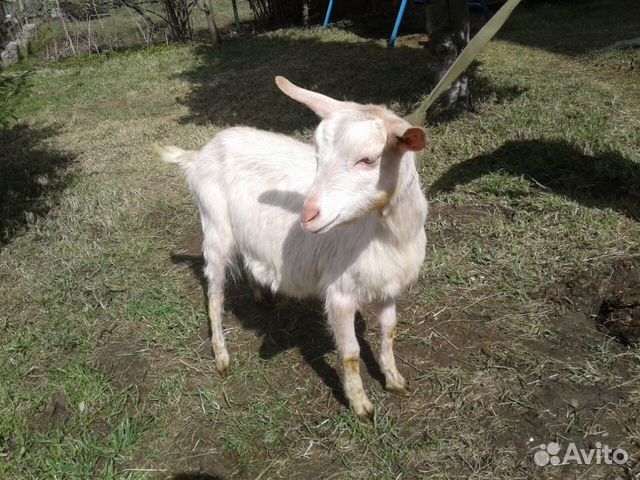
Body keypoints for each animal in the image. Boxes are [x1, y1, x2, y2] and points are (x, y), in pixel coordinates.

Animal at [156, 77, 429, 419]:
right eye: (318, 156)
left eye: (369, 159)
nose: (307, 215)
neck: (389, 235)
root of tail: (200, 154)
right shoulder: (339, 293)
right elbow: (350, 352)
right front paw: (360, 404)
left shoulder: (390, 284)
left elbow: (389, 331)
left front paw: (394, 380)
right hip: (215, 229)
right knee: (214, 295)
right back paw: (221, 358)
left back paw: (261, 295)